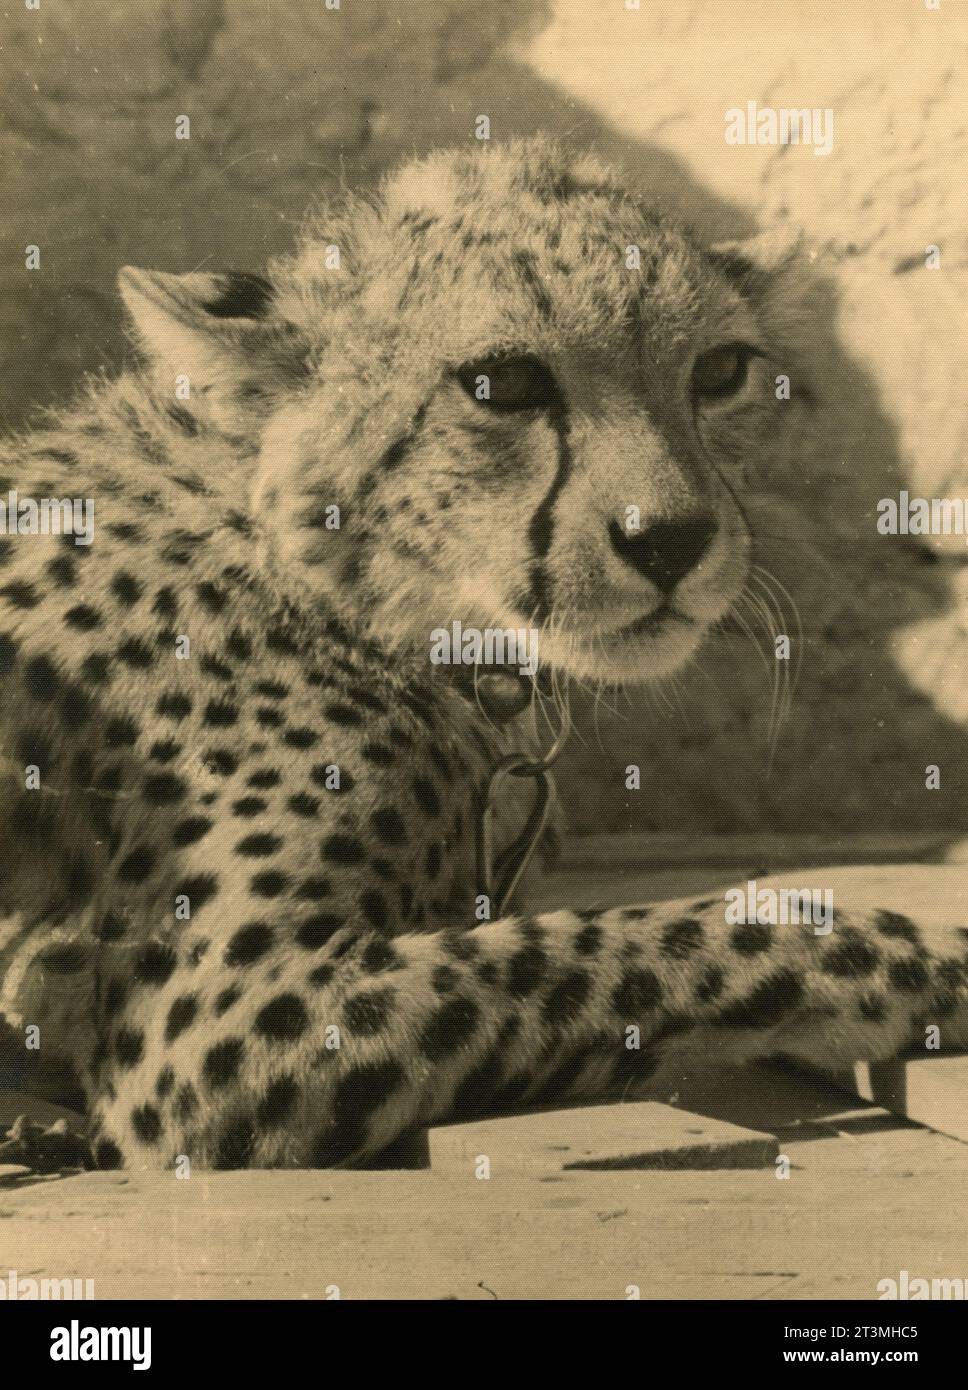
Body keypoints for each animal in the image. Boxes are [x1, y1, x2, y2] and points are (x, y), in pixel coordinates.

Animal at [1, 137, 966, 1172]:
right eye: (504, 384)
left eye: (719, 370)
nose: (671, 540)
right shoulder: (211, 1027)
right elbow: (625, 937)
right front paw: (922, 956)